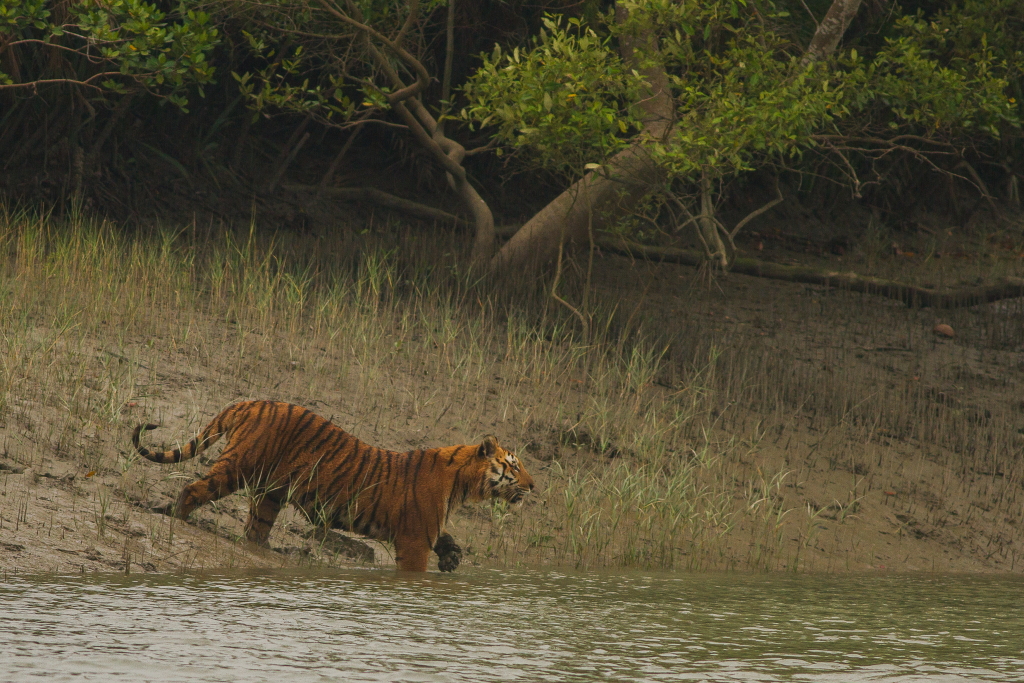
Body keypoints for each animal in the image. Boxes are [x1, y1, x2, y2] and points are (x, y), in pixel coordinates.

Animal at [131, 400, 535, 572]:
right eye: (514, 465)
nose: (534, 487)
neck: (464, 485)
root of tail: (252, 401)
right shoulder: (414, 540)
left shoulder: (427, 529)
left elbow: (449, 538)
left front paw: (452, 559)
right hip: (238, 467)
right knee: (194, 489)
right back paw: (178, 518)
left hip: (269, 494)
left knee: (255, 529)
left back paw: (267, 550)